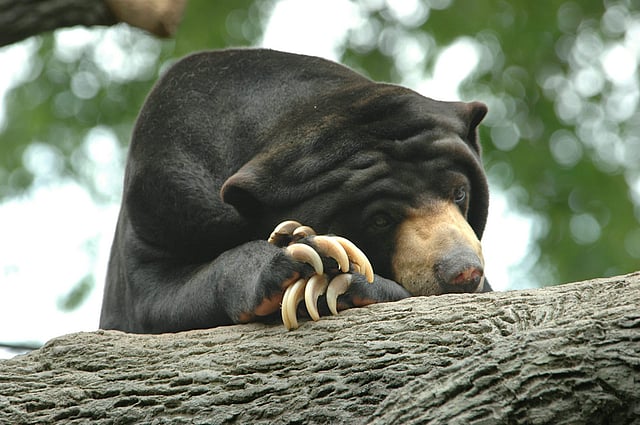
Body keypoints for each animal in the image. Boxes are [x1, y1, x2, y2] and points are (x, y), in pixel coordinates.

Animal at [99, 48, 491, 333]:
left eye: (459, 193)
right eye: (380, 219)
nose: (464, 272)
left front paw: (344, 281)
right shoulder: (161, 196)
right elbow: (153, 296)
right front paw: (307, 256)